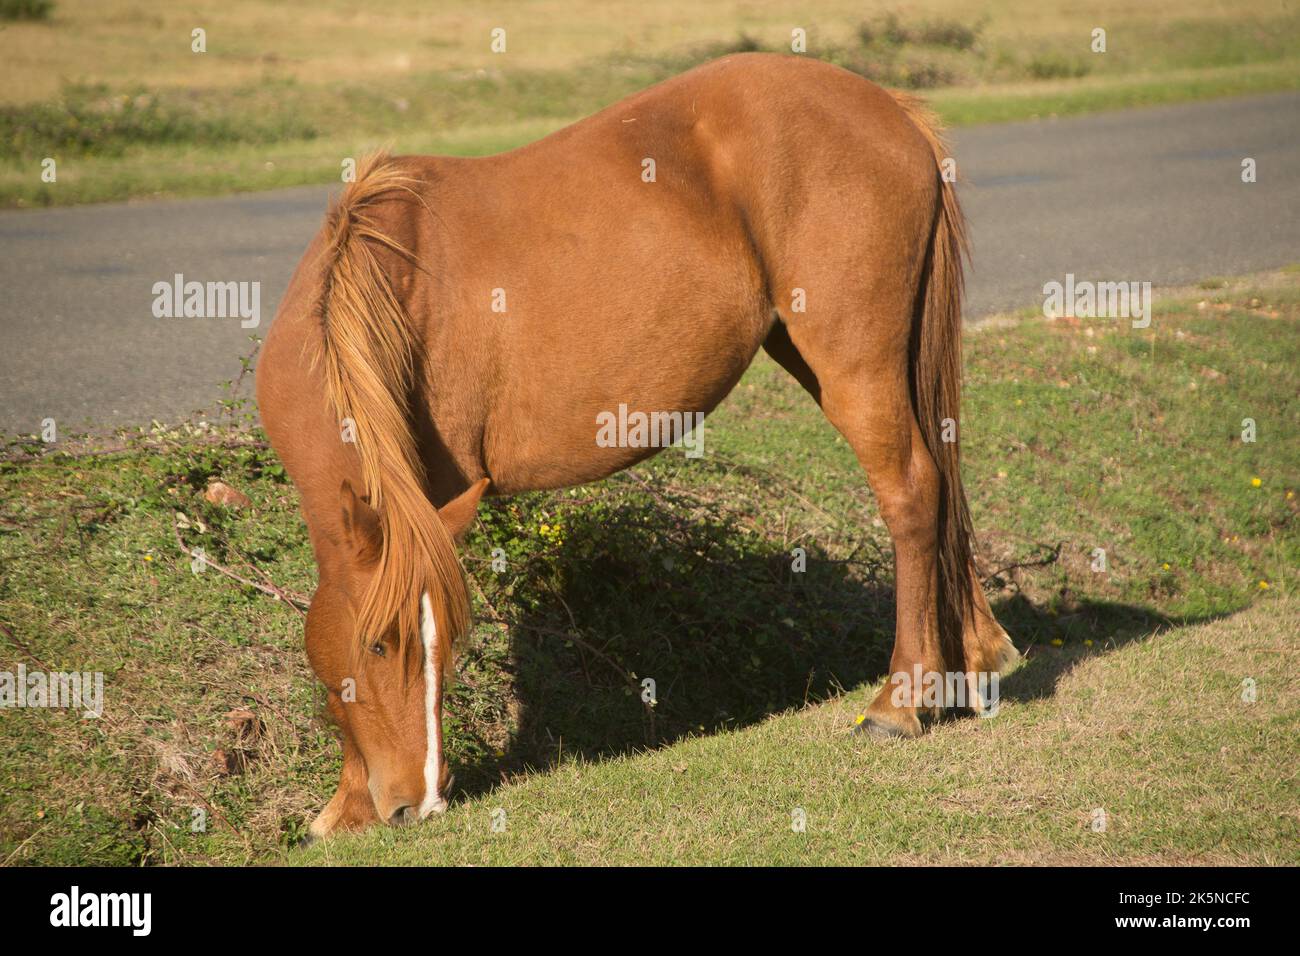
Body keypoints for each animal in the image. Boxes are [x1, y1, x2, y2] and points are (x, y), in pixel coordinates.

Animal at [256, 51, 1018, 840]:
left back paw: (900, 701)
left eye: (417, 642)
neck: (393, 281)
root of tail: (892, 110)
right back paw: (974, 659)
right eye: (380, 644)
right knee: (943, 481)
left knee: (913, 492)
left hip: (853, 365)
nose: (419, 802)